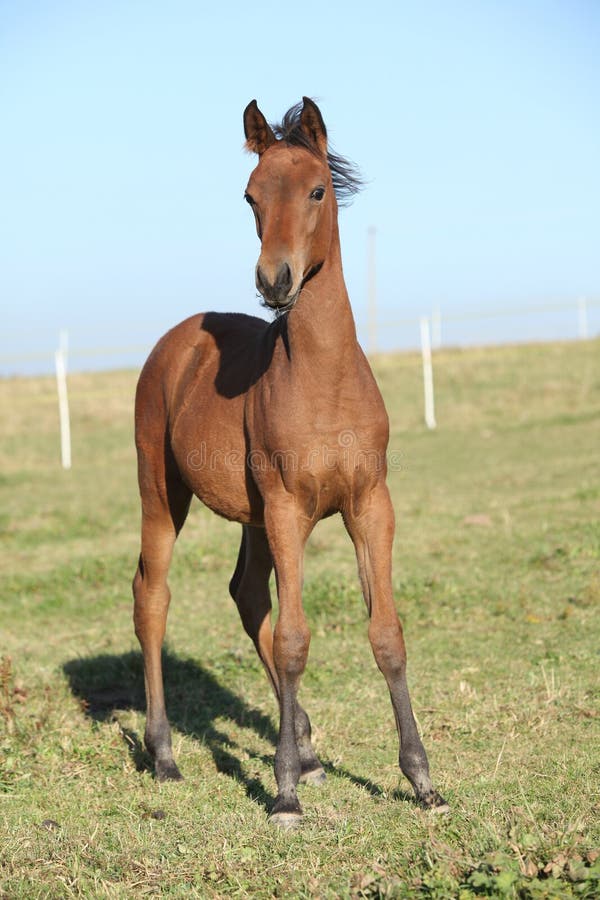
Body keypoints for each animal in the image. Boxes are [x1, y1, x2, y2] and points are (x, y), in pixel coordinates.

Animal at [132, 97, 448, 827]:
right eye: (250, 195)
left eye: (317, 190)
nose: (274, 281)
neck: (323, 379)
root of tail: (176, 341)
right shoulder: (285, 507)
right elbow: (295, 639)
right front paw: (282, 795)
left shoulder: (369, 504)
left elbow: (386, 635)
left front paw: (422, 781)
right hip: (164, 495)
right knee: (153, 595)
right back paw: (165, 755)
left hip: (251, 516)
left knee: (246, 596)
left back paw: (304, 749)